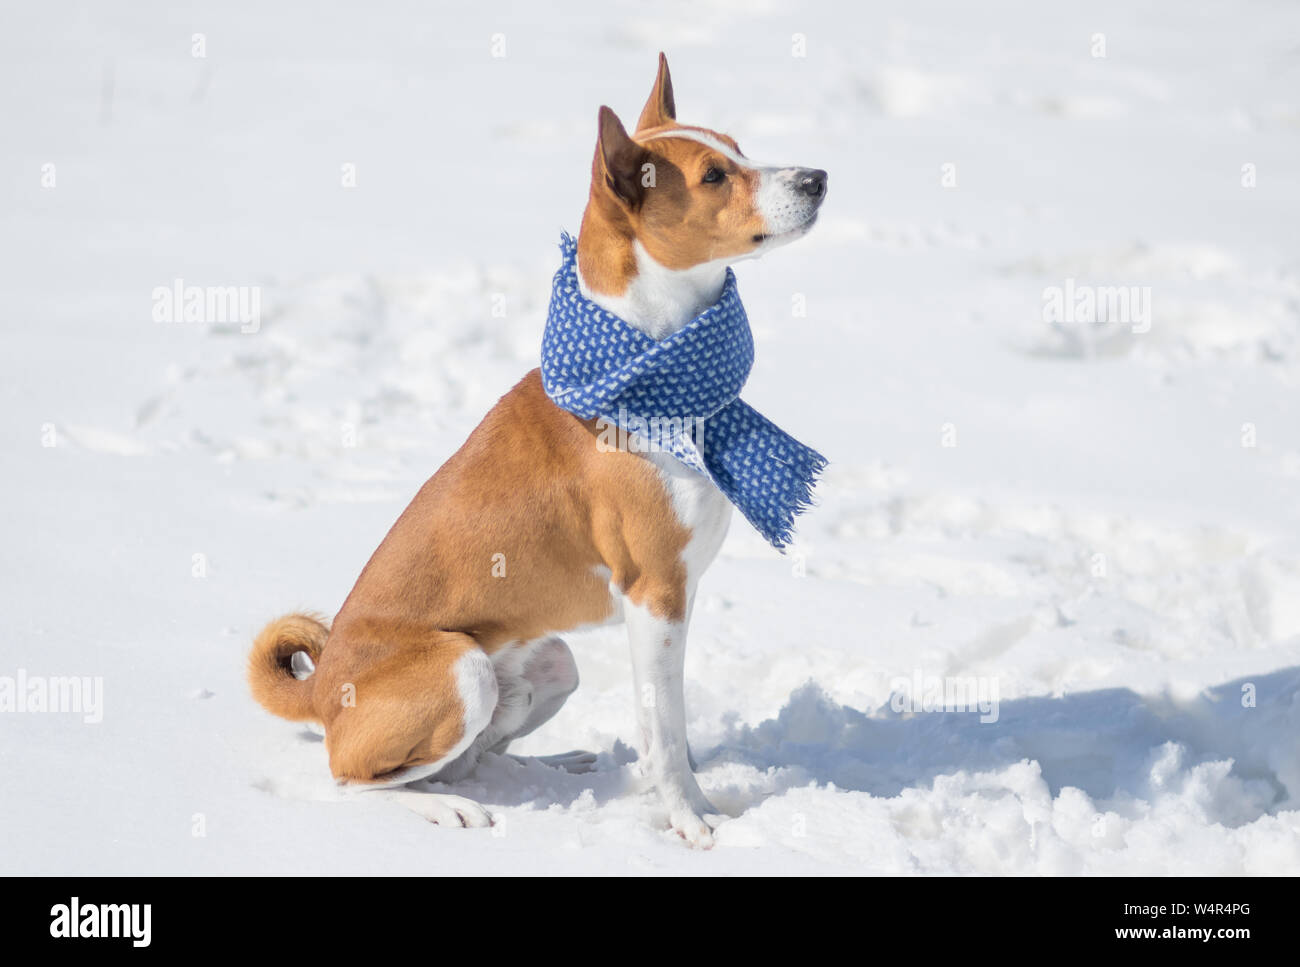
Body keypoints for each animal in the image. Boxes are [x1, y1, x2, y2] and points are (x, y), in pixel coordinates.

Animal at [248, 56, 826, 847]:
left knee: (470, 757)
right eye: (713, 176)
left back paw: (555, 766)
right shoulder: (655, 595)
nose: (817, 177)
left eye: (739, 147)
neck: (651, 363)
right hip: (460, 668)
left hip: (552, 663)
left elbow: (668, 730)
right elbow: (664, 734)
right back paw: (444, 809)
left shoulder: (671, 603)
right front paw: (689, 820)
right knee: (353, 778)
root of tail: (324, 692)